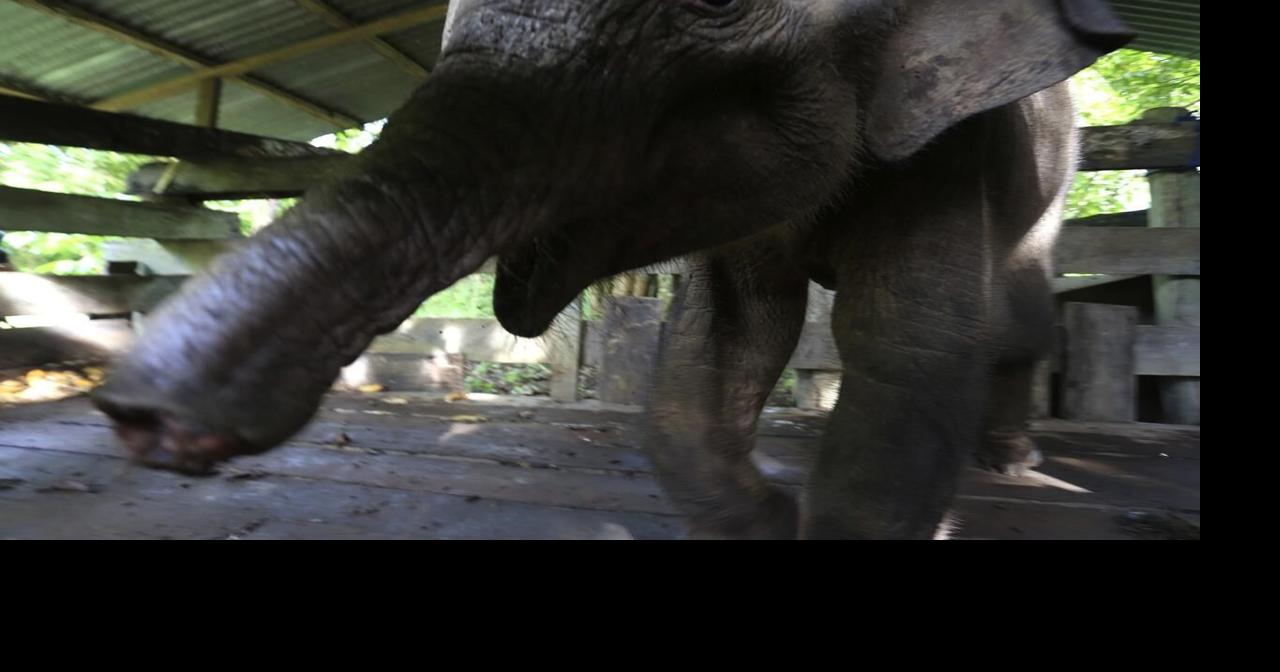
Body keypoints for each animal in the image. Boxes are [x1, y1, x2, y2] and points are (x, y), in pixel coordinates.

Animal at [91, 0, 1132, 539]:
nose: (140, 417)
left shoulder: (951, 139)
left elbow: (909, 342)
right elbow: (726, 334)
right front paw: (762, 513)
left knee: (1019, 315)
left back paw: (1013, 461)